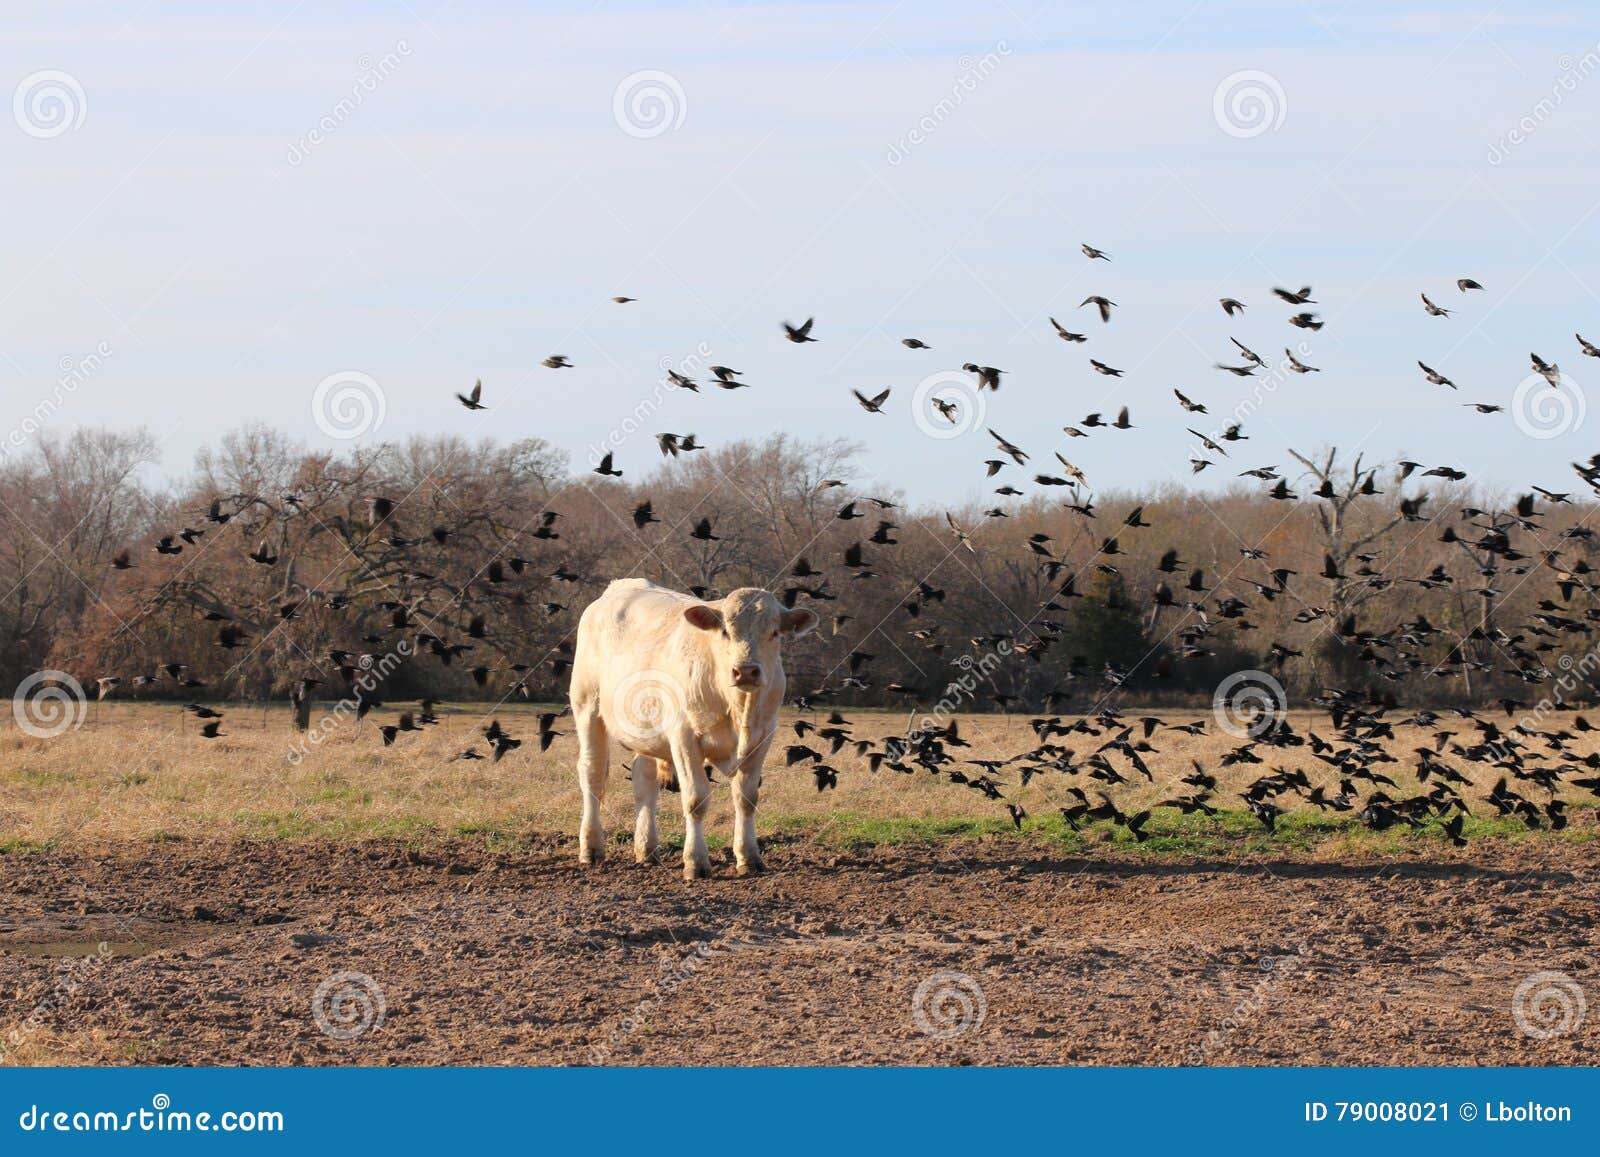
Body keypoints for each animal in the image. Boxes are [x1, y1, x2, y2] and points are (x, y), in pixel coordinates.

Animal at [569, 578, 817, 880]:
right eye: (725, 631)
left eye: (774, 633)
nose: (746, 671)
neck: (738, 707)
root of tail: (624, 585)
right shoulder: (683, 737)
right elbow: (696, 799)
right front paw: (696, 862)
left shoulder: (763, 737)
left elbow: (746, 798)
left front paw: (749, 857)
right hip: (587, 707)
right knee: (592, 775)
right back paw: (591, 848)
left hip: (645, 729)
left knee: (643, 780)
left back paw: (647, 850)